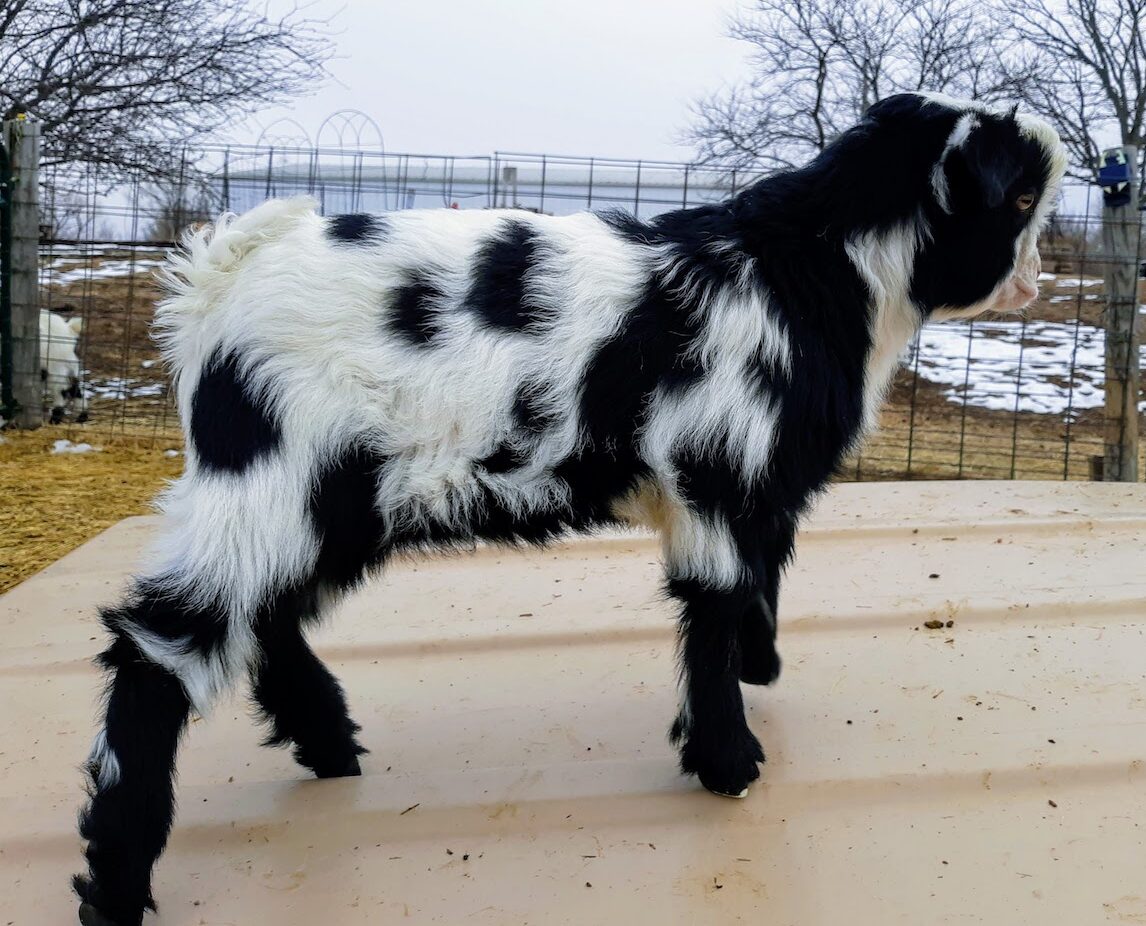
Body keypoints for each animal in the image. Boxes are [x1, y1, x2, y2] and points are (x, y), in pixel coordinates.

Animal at [74, 92, 1065, 926]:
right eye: (1020, 197)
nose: (1039, 280)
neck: (809, 271)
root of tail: (222, 279)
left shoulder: (762, 487)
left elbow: (761, 578)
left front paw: (762, 669)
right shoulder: (717, 468)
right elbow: (715, 604)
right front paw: (728, 761)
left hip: (327, 500)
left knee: (268, 613)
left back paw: (327, 742)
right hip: (267, 477)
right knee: (159, 646)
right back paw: (116, 882)